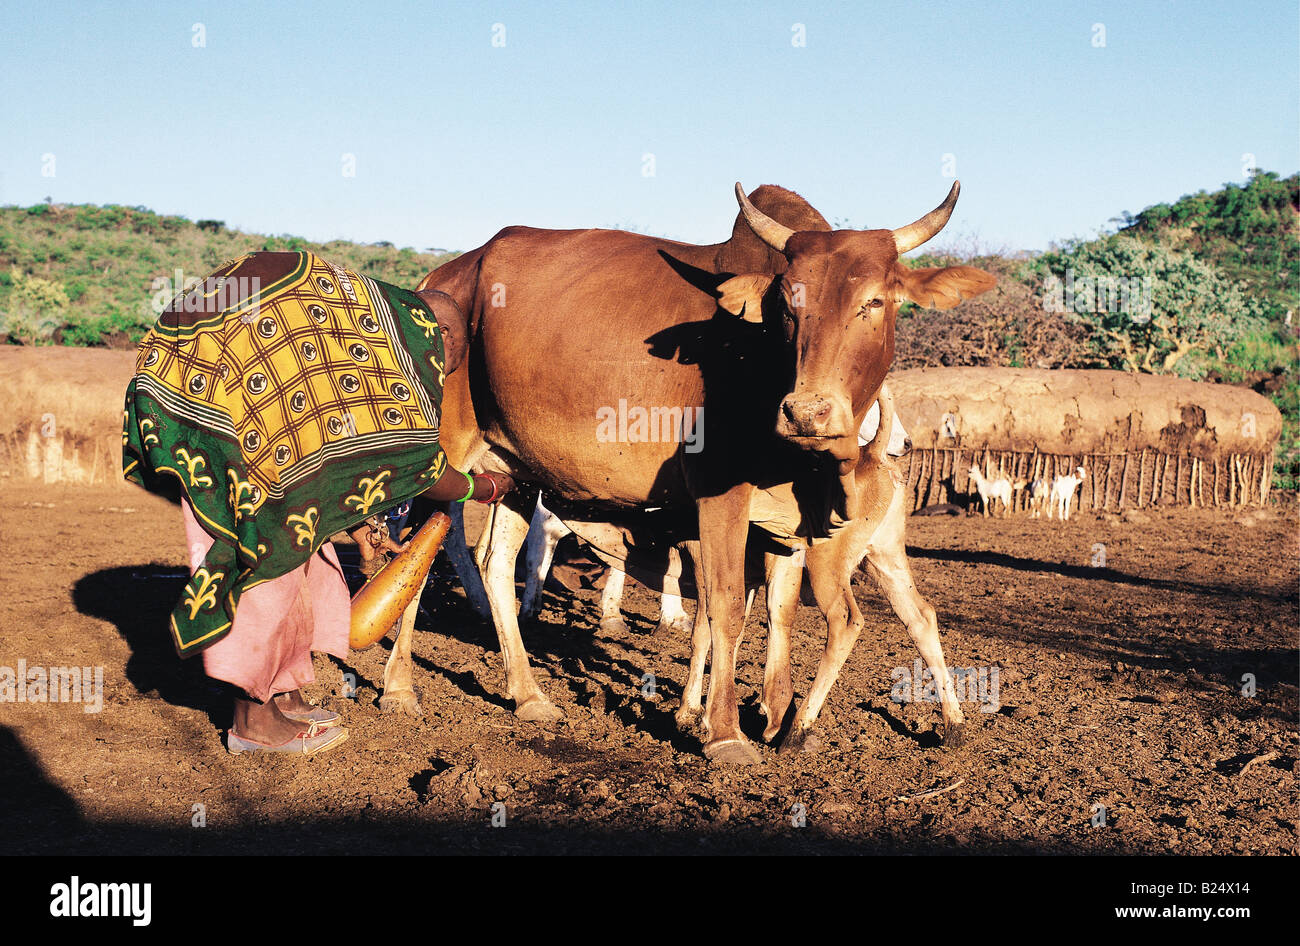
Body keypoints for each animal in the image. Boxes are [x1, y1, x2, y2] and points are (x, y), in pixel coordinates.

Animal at [382, 182, 994, 763]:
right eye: (788, 306)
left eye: (875, 301)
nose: (807, 412)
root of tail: (442, 276)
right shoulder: (718, 496)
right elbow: (724, 606)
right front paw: (723, 731)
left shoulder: (791, 527)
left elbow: (777, 611)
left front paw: (776, 717)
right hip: (447, 450)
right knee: (420, 555)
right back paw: (399, 688)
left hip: (514, 468)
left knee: (495, 562)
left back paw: (528, 694)